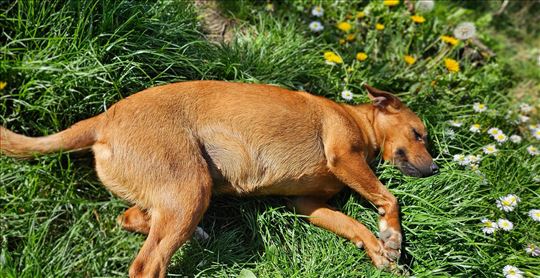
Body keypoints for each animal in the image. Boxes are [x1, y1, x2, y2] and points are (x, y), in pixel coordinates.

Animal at [1, 80, 438, 276]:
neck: (357, 120)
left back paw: (192, 233)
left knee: (131, 217)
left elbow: (352, 225)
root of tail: (102, 121)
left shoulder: (309, 206)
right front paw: (392, 235)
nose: (435, 168)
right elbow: (388, 197)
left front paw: (380, 249)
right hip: (191, 189)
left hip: (179, 195)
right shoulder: (344, 157)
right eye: (419, 134)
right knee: (147, 264)